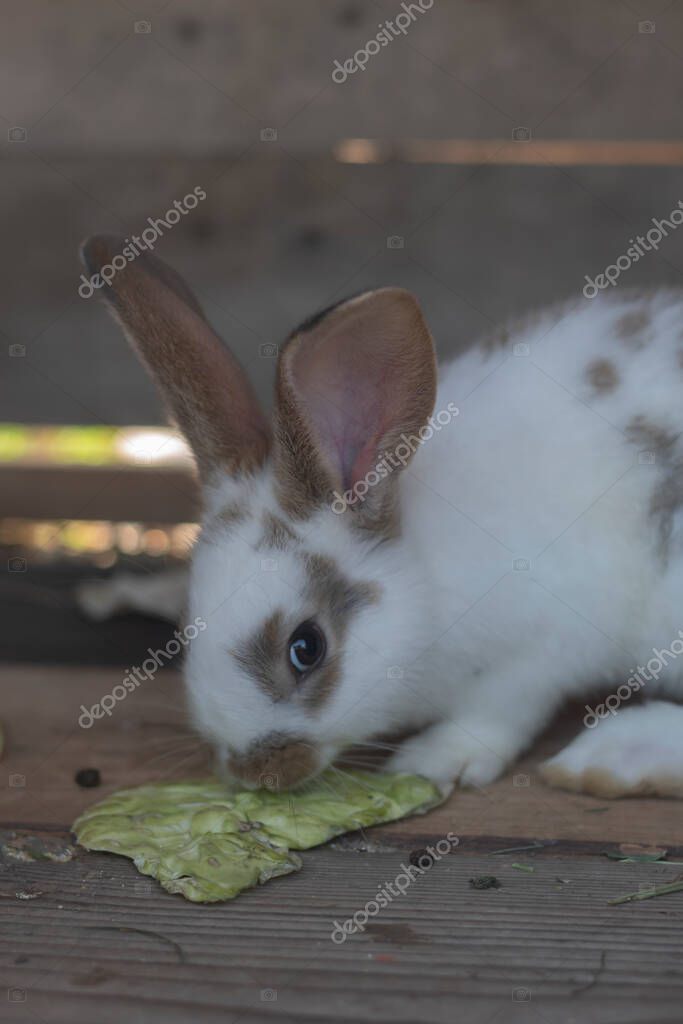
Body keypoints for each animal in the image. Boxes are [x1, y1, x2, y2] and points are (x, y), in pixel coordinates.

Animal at [82, 234, 683, 798]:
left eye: (307, 648)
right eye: (188, 626)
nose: (254, 772)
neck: (424, 575)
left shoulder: (539, 652)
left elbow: (498, 712)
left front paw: (436, 759)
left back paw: (612, 757)